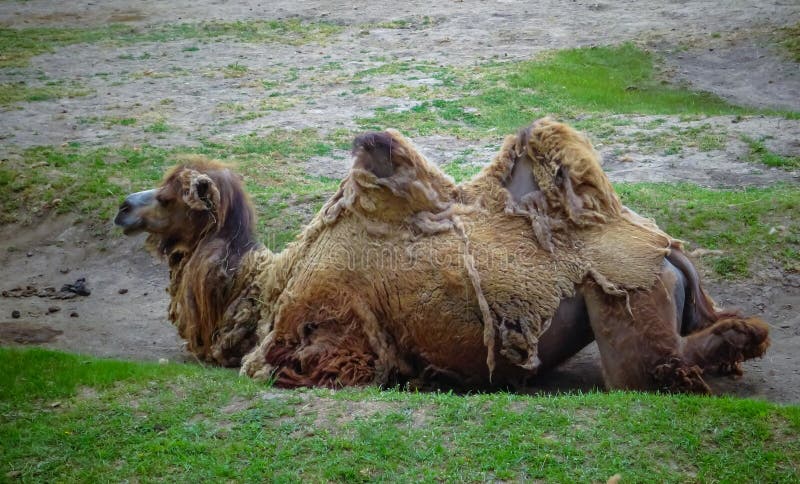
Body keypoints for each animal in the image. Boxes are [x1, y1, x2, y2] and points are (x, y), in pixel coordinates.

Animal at [114, 119, 769, 393]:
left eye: (169, 195)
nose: (123, 206)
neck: (269, 281)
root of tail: (667, 250)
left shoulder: (330, 334)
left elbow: (282, 368)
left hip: (629, 295)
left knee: (649, 369)